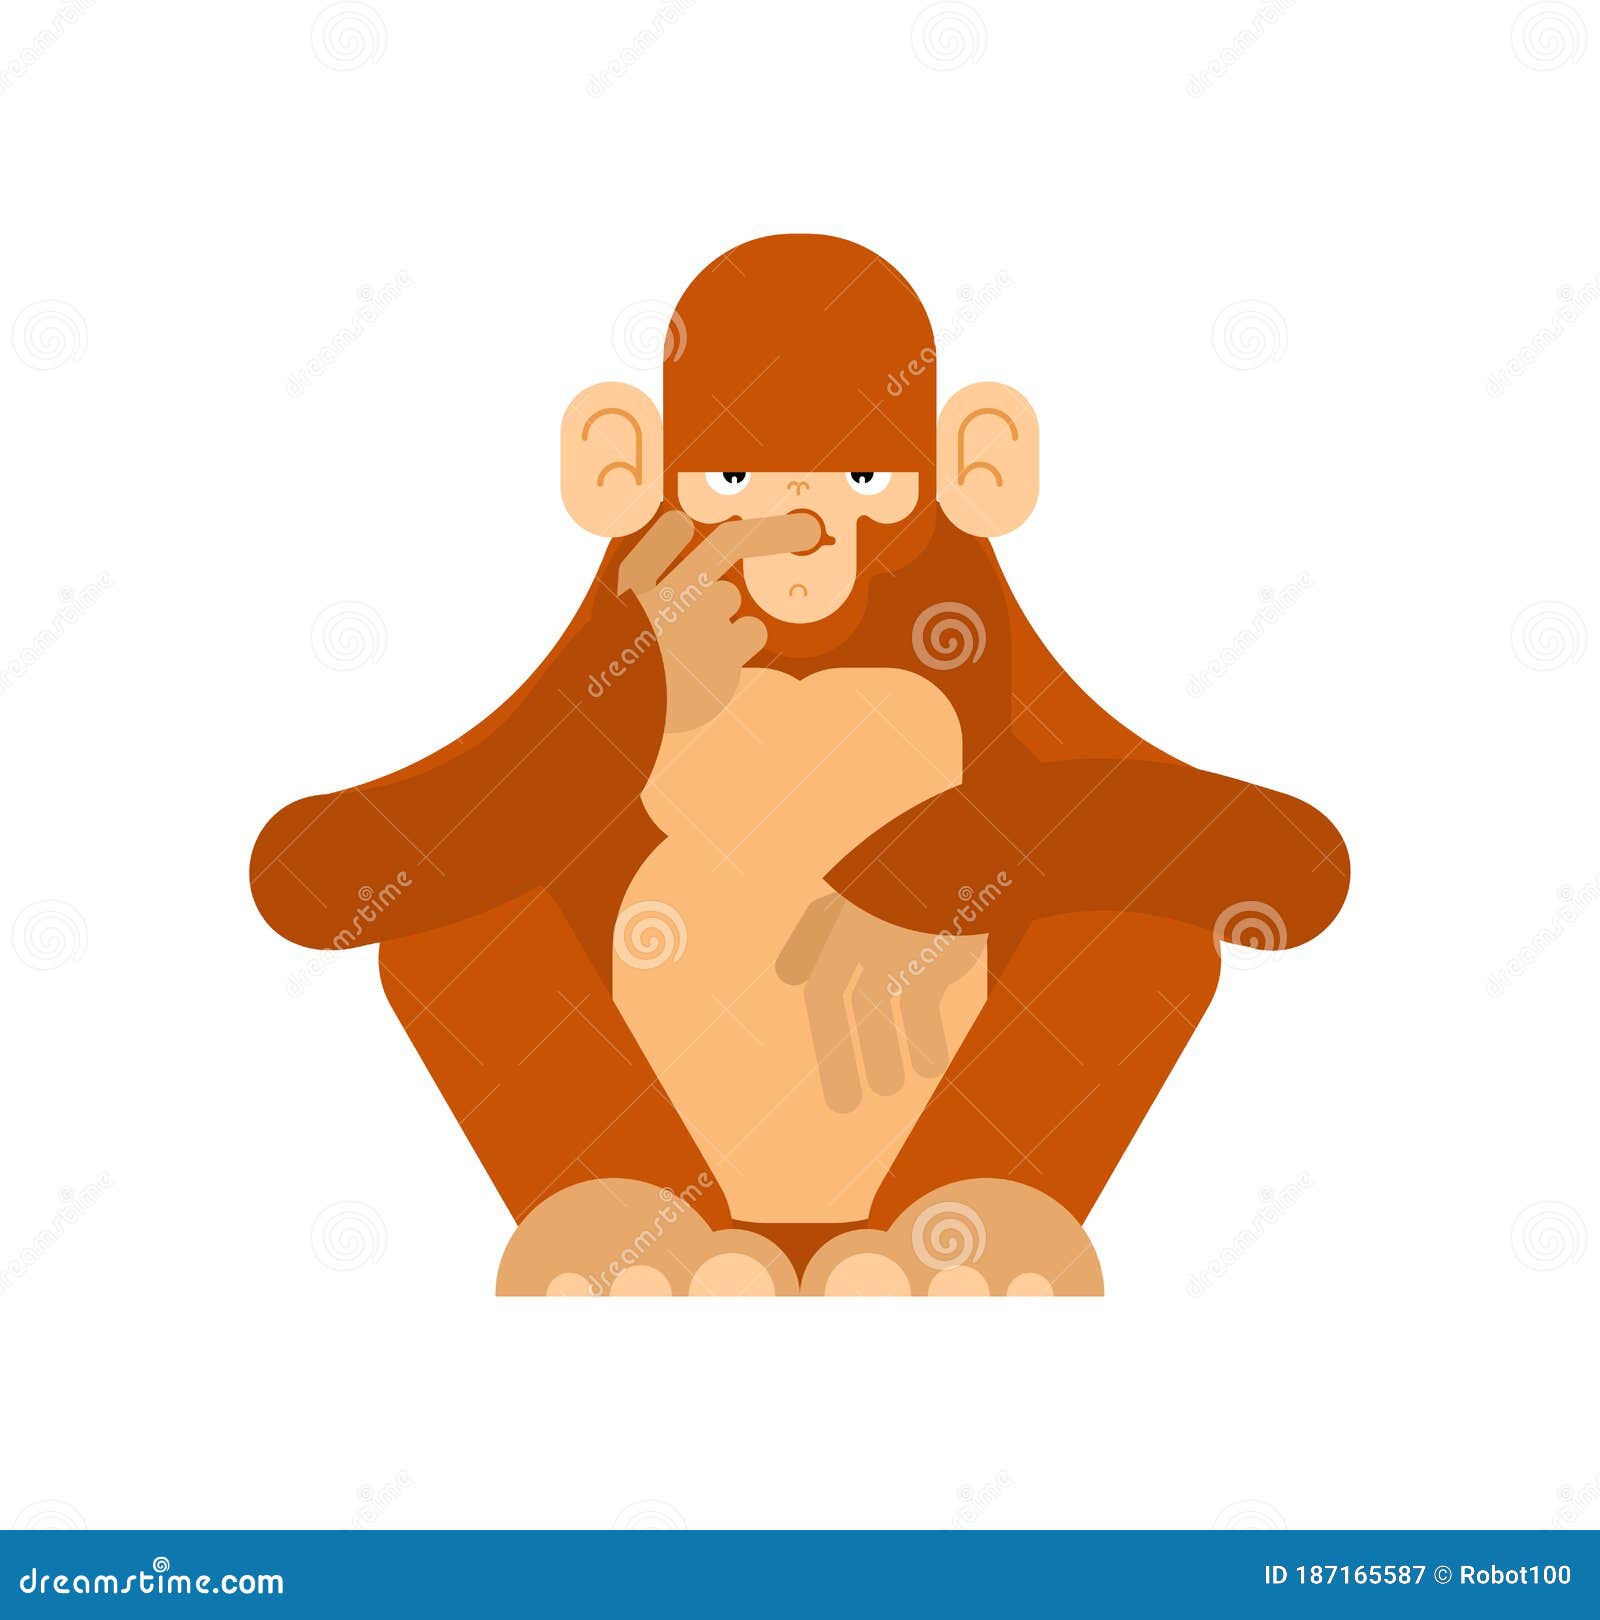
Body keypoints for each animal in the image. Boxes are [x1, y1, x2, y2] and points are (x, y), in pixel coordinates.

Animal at [250, 234, 1348, 1296]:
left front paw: (887, 891)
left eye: (865, 480)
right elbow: (333, 852)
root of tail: (800, 1244)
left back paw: (972, 1236)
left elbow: (1280, 845)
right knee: (462, 923)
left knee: (1145, 910)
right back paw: (629, 1238)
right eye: (731, 479)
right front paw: (672, 646)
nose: (804, 541)